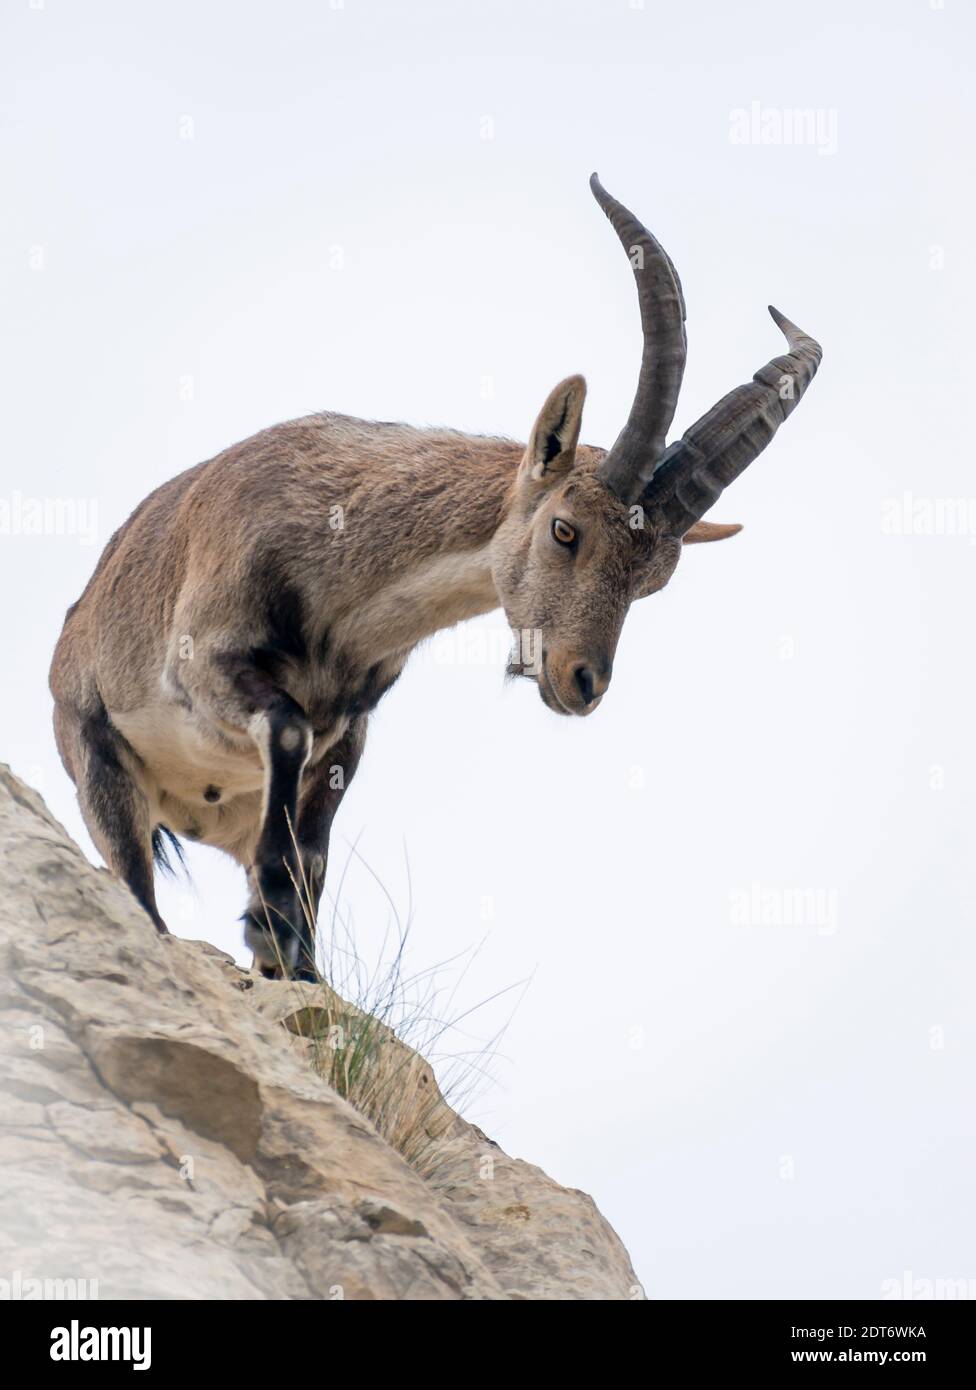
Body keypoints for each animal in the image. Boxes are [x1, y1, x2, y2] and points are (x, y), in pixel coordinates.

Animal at [50, 176, 822, 980]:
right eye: (565, 529)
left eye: (655, 580)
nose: (583, 681)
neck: (342, 590)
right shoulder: (205, 663)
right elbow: (287, 732)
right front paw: (265, 928)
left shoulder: (349, 736)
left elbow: (311, 856)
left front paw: (290, 954)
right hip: (100, 771)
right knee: (138, 891)